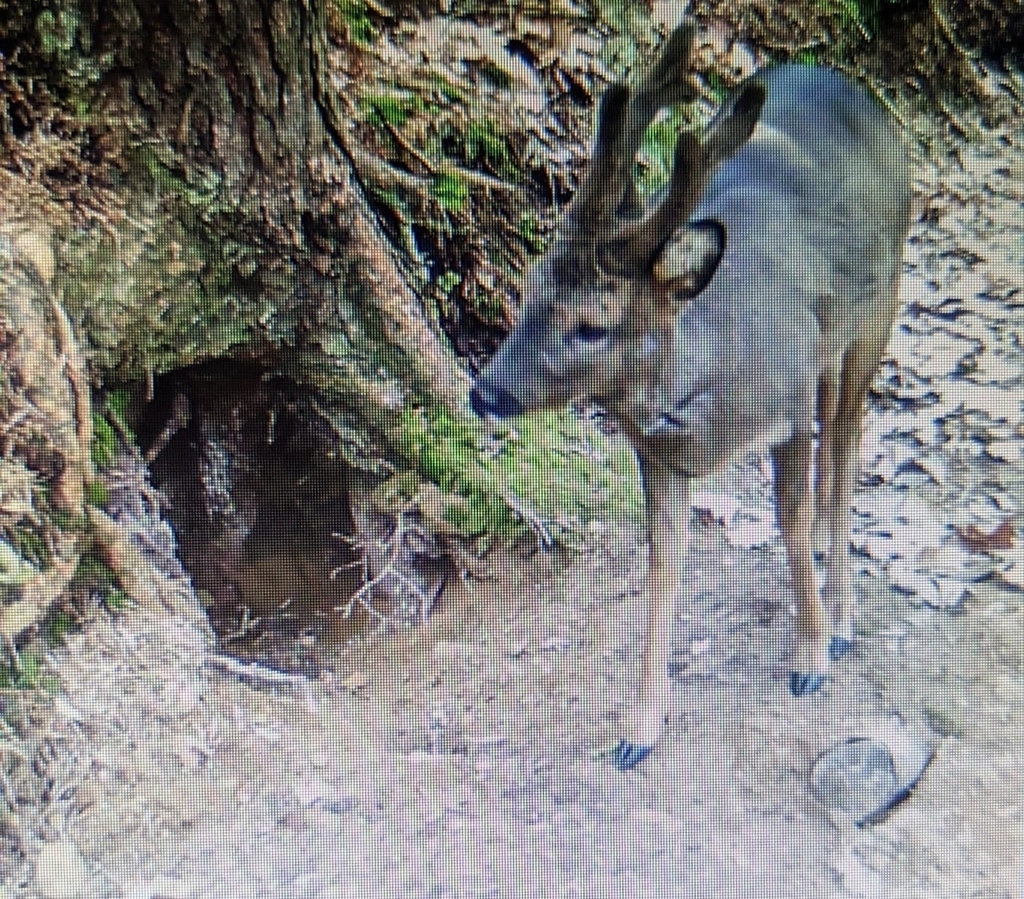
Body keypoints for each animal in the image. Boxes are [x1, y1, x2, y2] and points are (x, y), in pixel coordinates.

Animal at [469, 22, 911, 769]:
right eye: (528, 290)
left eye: (592, 325)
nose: (485, 391)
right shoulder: (658, 457)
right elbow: (662, 569)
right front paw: (639, 727)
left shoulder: (786, 408)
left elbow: (792, 524)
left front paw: (811, 656)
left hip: (876, 307)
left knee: (846, 450)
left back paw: (842, 614)